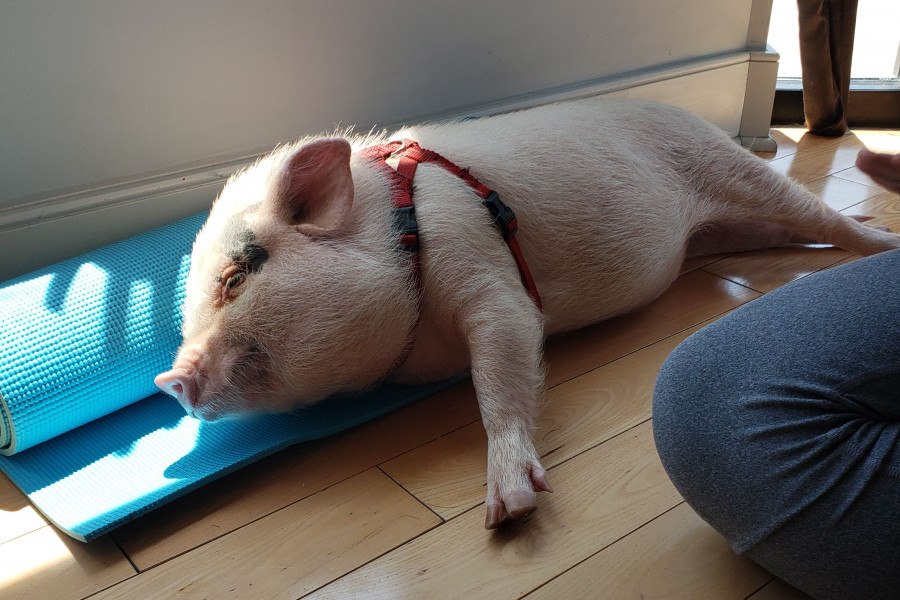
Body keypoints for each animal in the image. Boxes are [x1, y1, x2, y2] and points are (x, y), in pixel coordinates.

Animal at [155, 97, 900, 529]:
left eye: (235, 276)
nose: (170, 379)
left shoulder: (488, 274)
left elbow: (501, 376)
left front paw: (505, 511)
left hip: (730, 169)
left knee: (818, 217)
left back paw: (881, 242)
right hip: (732, 228)